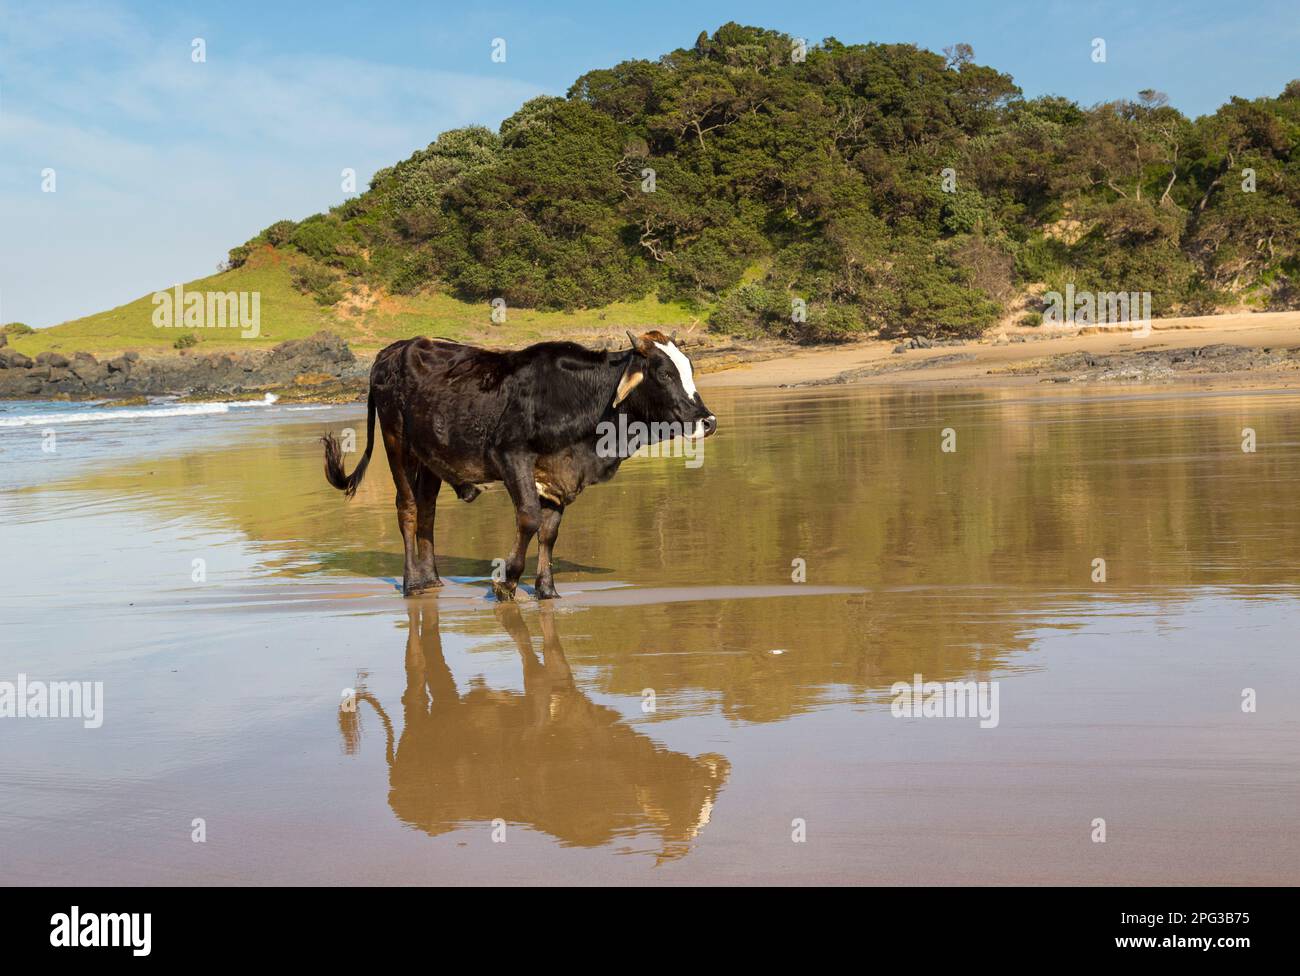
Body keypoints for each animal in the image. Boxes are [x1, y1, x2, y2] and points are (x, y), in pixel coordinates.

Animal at [322, 330, 716, 600]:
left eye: (689, 368)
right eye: (664, 374)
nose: (708, 421)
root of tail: (391, 351)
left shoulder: (559, 476)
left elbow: (549, 531)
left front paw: (546, 589)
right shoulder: (511, 457)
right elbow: (528, 518)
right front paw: (506, 582)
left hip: (429, 457)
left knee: (427, 511)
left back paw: (432, 579)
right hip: (396, 441)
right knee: (406, 508)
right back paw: (411, 584)